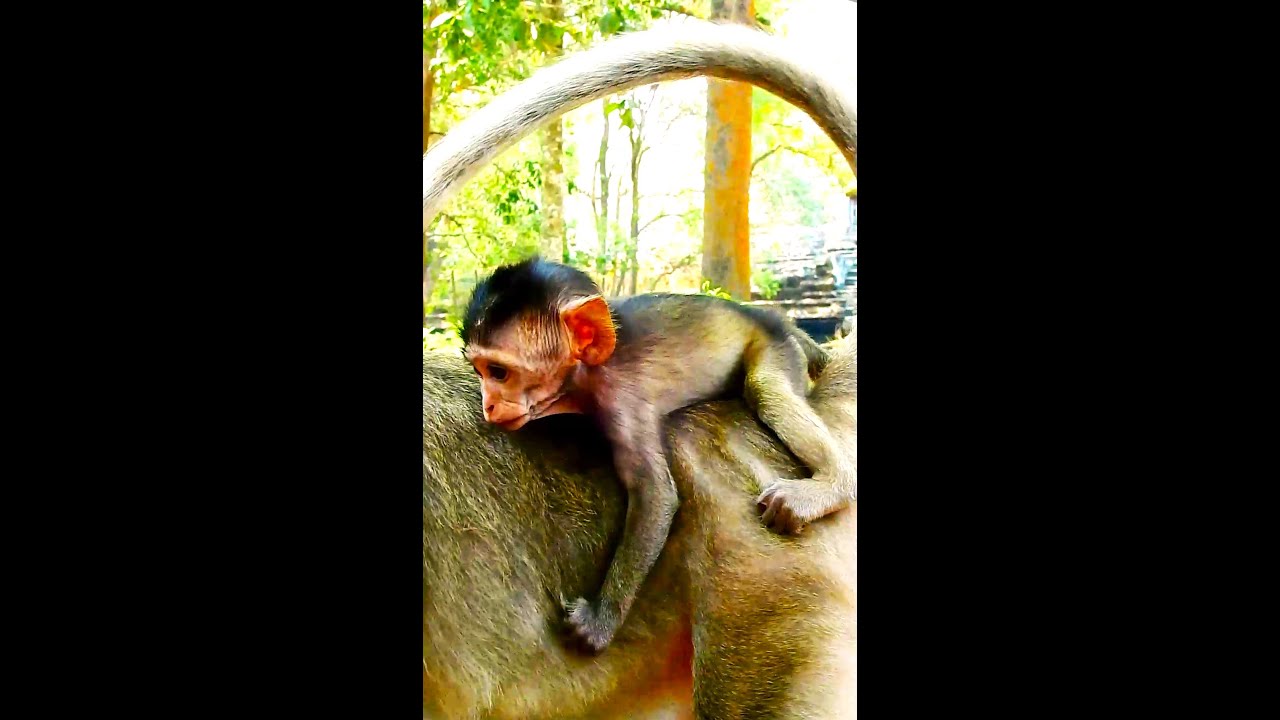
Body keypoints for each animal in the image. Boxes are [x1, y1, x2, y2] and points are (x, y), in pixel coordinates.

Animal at [460, 258, 856, 654]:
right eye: (479, 372)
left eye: (499, 372)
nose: (488, 404)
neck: (590, 370)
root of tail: (770, 319)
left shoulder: (622, 400)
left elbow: (655, 493)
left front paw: (601, 618)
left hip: (775, 348)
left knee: (766, 387)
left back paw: (834, 486)